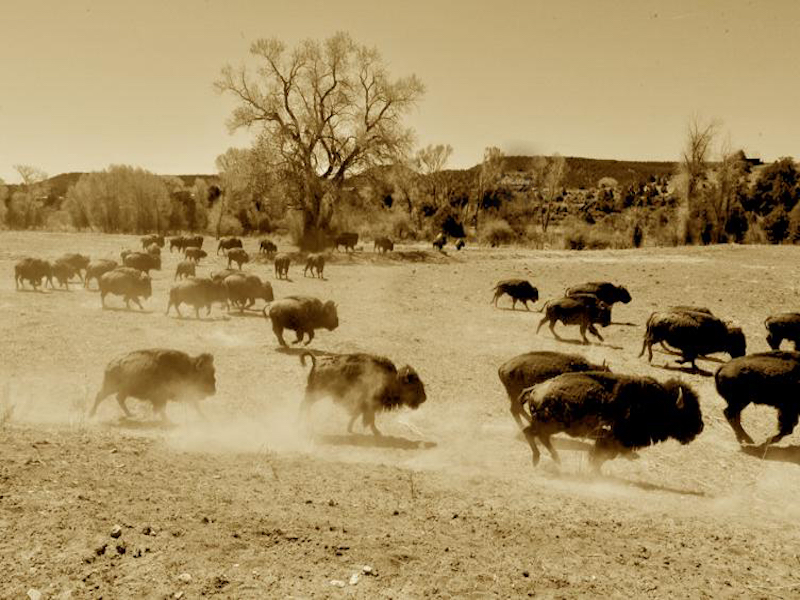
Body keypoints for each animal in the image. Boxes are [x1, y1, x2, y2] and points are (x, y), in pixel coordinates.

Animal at [520, 372, 703, 471]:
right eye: (687, 411)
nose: (700, 427)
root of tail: (536, 388)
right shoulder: (614, 439)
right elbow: (602, 455)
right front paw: (595, 471)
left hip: (548, 426)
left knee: (535, 435)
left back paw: (550, 459)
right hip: (550, 425)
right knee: (533, 435)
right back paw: (544, 459)